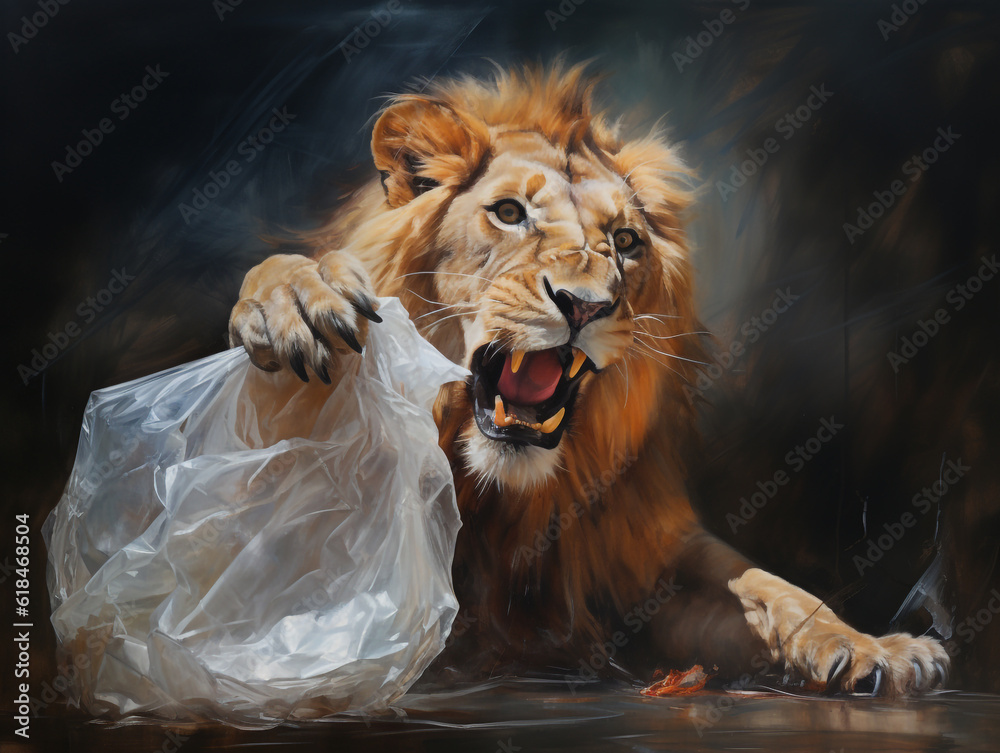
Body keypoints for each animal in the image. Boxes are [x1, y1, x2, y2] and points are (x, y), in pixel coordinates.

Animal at [228, 62, 948, 696]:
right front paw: (297, 298)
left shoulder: (643, 549)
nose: (584, 305)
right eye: (509, 212)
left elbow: (766, 583)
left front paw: (873, 646)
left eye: (625, 241)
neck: (500, 494)